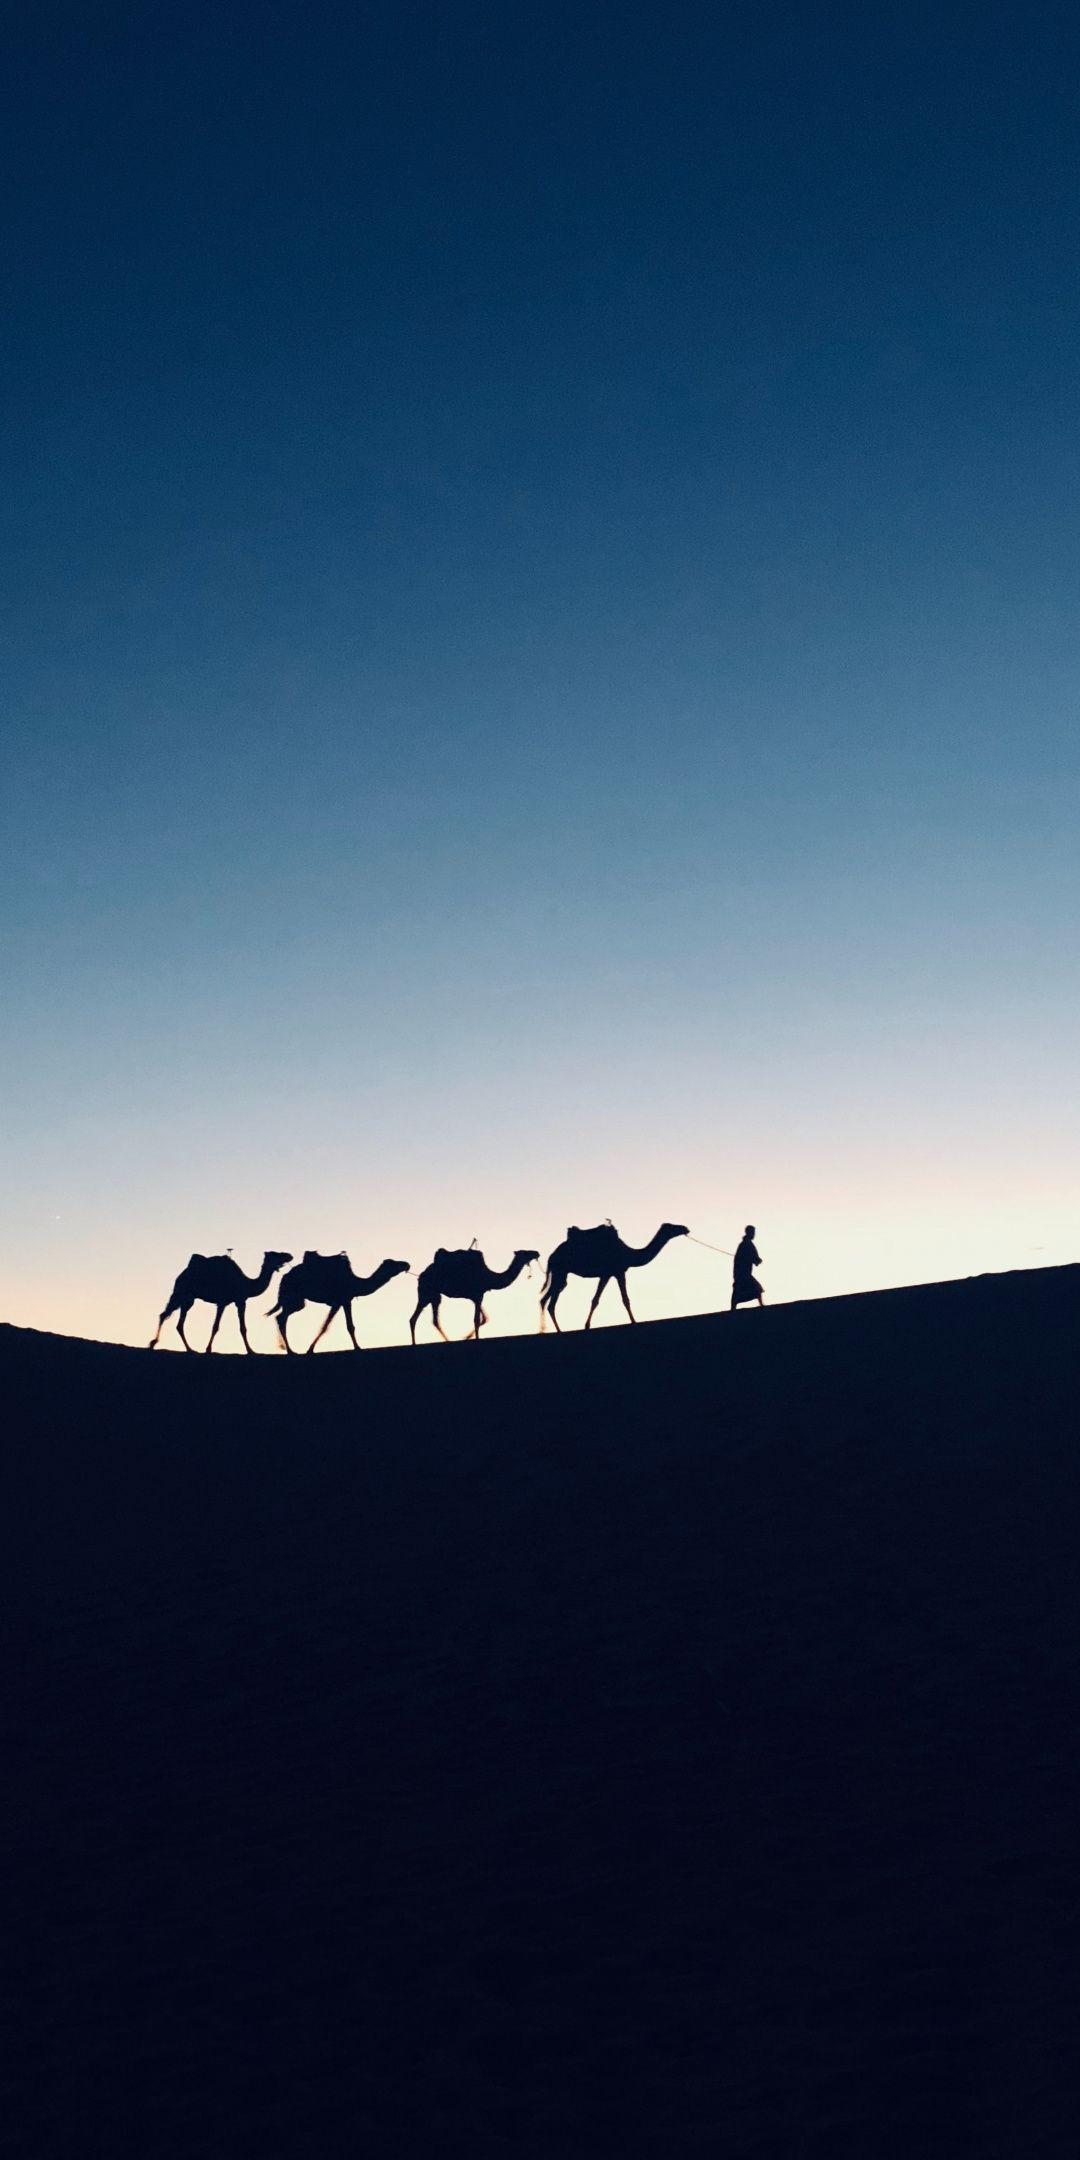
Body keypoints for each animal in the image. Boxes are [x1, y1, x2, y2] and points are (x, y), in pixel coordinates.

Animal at [150, 1249, 293, 1353]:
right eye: (276, 1254)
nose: (289, 1255)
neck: (246, 1284)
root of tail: (182, 1274)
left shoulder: (236, 1301)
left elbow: (239, 1327)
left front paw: (250, 1350)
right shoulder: (229, 1301)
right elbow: (220, 1326)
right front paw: (250, 1351)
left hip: (188, 1299)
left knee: (175, 1322)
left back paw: (188, 1349)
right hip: (181, 1292)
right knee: (165, 1315)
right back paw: (154, 1343)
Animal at [269, 1251, 410, 1353]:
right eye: (393, 1263)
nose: (406, 1264)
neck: (355, 1283)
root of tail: (284, 1278)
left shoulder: (341, 1302)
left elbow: (334, 1325)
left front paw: (310, 1349)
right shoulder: (343, 1300)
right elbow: (343, 1326)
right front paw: (358, 1347)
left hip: (297, 1301)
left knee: (281, 1317)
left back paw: (288, 1349)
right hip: (294, 1296)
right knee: (281, 1317)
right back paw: (290, 1351)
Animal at [410, 1246, 539, 1344]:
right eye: (525, 1252)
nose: (536, 1253)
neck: (489, 1277)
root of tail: (421, 1276)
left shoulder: (478, 1296)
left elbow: (484, 1318)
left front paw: (467, 1337)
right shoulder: (478, 1295)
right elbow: (477, 1319)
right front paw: (475, 1339)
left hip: (434, 1295)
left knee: (431, 1320)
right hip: (426, 1292)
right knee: (415, 1318)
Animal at [539, 1221, 688, 1332]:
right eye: (671, 1226)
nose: (685, 1228)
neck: (628, 1253)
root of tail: (551, 1256)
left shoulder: (608, 1274)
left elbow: (597, 1300)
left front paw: (587, 1326)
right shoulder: (617, 1272)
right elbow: (624, 1299)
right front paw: (634, 1322)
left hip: (561, 1273)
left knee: (546, 1300)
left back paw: (553, 1329)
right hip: (560, 1271)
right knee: (549, 1302)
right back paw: (556, 1330)